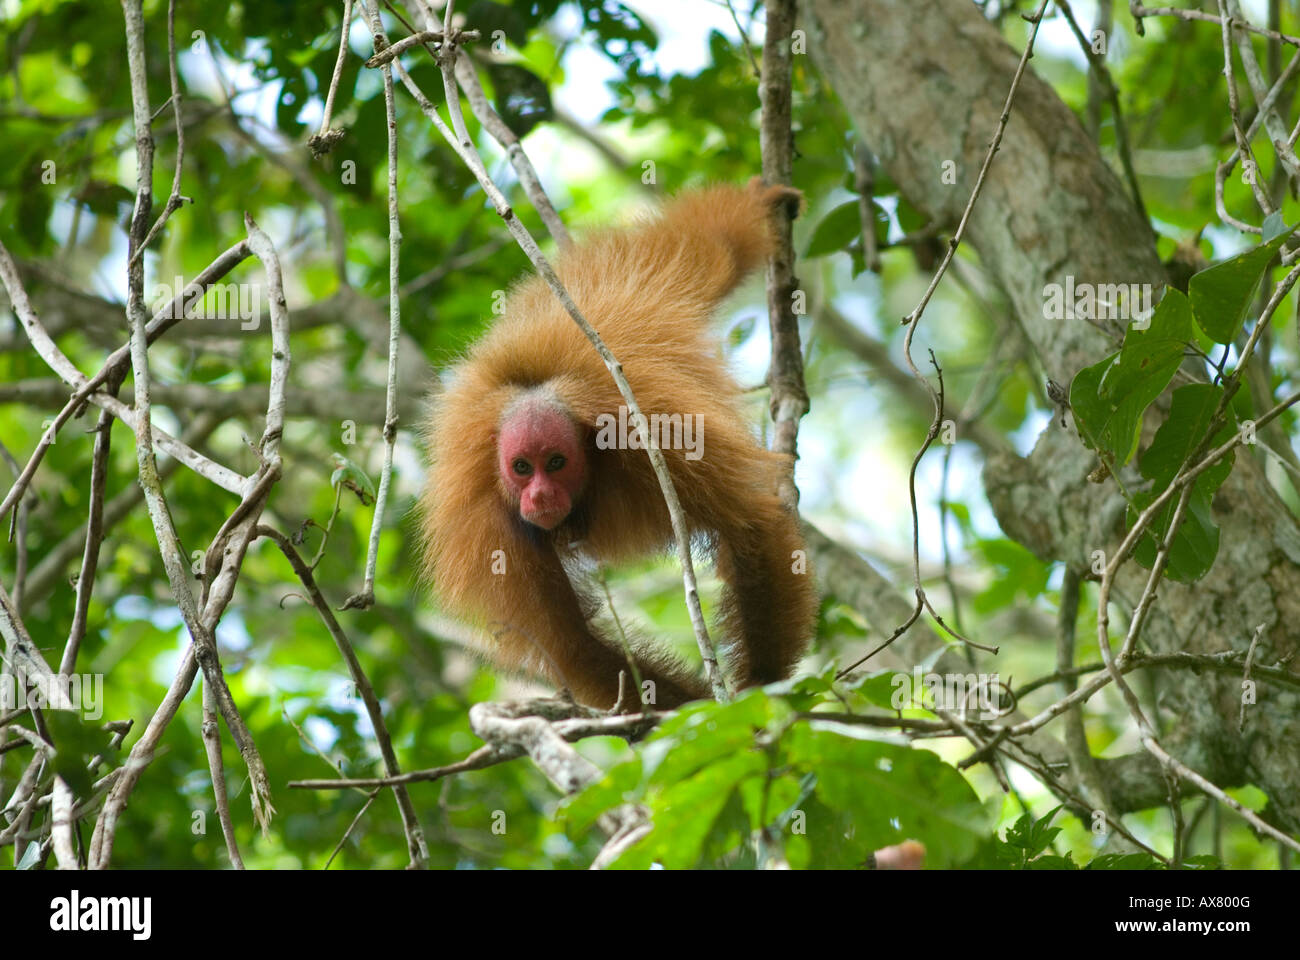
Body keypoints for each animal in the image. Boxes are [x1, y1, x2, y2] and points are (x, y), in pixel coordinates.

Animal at [418, 180, 818, 710]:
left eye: (556, 462)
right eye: (522, 468)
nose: (539, 495)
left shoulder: (663, 440)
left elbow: (753, 527)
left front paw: (761, 689)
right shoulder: (489, 525)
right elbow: (577, 645)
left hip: (664, 266)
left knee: (715, 243)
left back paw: (761, 203)